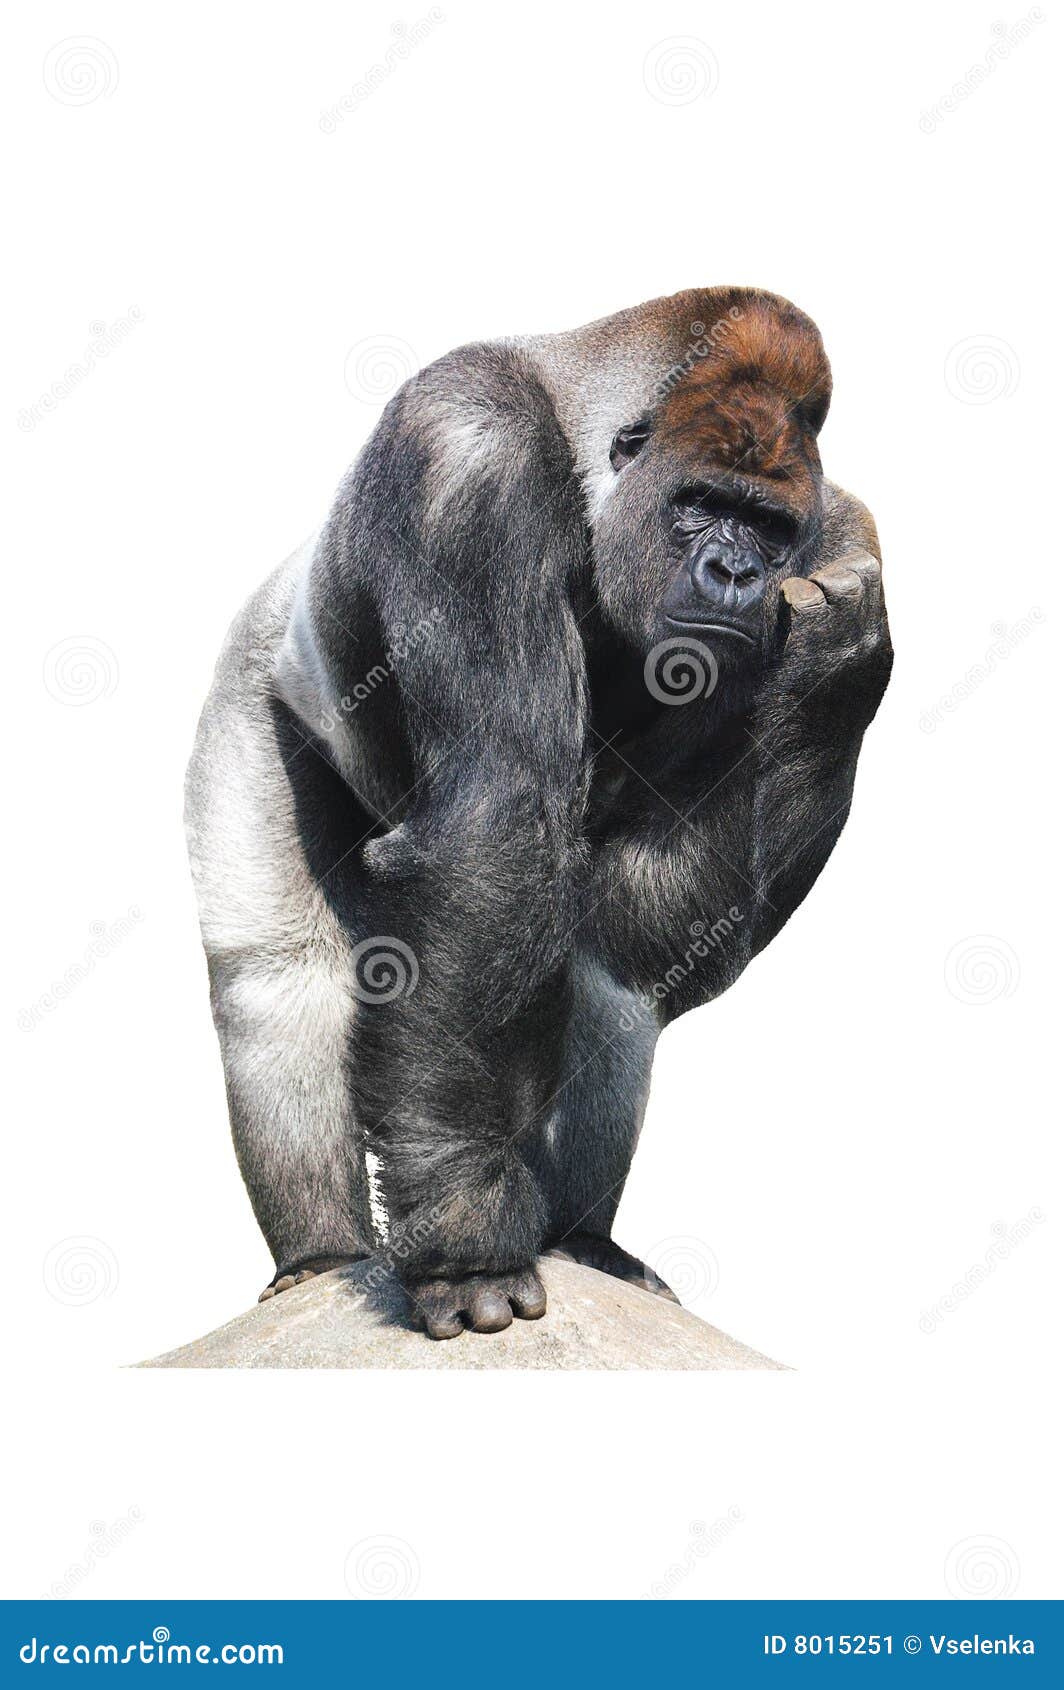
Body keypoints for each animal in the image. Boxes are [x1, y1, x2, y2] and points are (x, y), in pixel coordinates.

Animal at [185, 286, 891, 1340]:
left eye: (766, 527)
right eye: (701, 506)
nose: (735, 574)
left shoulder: (846, 534)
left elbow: (654, 923)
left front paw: (837, 669)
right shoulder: (469, 455)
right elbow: (498, 815)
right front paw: (465, 1236)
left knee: (609, 975)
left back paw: (584, 1240)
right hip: (256, 666)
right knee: (277, 975)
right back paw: (320, 1258)